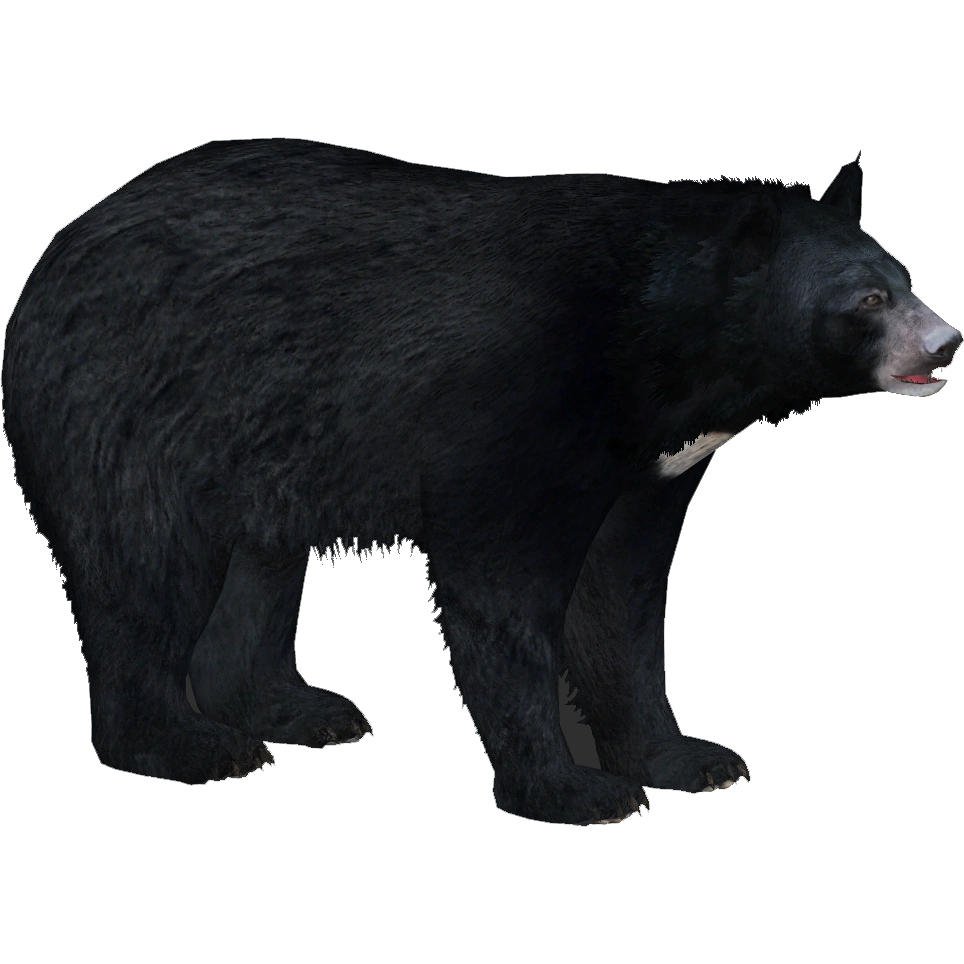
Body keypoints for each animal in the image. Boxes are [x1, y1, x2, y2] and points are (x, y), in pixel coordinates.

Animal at [2, 138, 957, 825]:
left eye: (908, 276)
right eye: (869, 298)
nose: (946, 345)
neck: (652, 342)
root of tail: (44, 263)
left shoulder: (646, 469)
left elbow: (623, 604)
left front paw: (690, 760)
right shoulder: (518, 410)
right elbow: (500, 593)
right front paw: (577, 792)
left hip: (264, 451)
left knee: (254, 572)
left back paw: (305, 712)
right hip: (135, 414)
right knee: (143, 572)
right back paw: (188, 747)